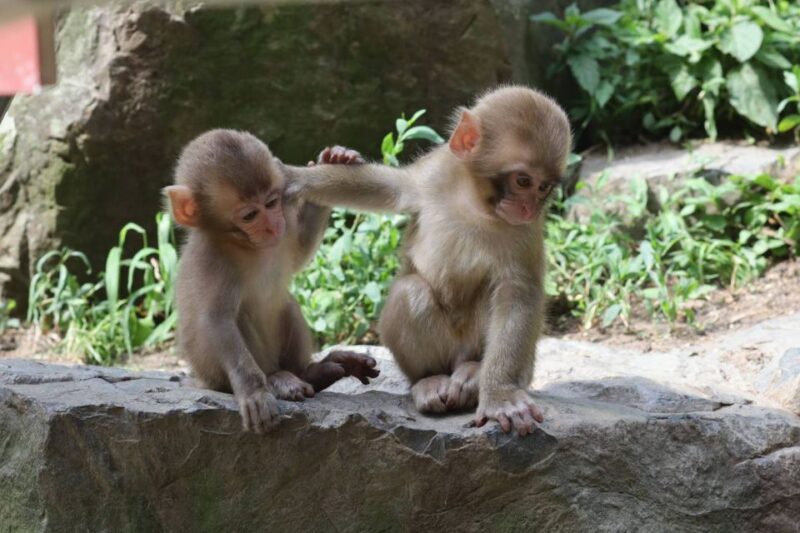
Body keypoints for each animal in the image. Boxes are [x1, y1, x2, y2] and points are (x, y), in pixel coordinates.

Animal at [165, 130, 379, 433]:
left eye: (271, 202)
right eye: (250, 215)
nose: (272, 225)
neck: (245, 244)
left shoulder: (284, 234)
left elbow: (299, 254)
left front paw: (335, 159)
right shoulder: (213, 260)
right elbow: (217, 320)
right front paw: (254, 392)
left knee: (286, 305)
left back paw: (316, 371)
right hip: (215, 374)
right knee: (239, 319)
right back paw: (278, 380)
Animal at [285, 86, 571, 436]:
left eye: (544, 187)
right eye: (523, 181)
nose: (529, 207)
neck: (474, 204)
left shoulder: (524, 232)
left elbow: (517, 294)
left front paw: (501, 395)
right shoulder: (434, 173)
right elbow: (389, 189)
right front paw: (297, 177)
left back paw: (473, 374)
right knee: (410, 290)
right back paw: (429, 379)